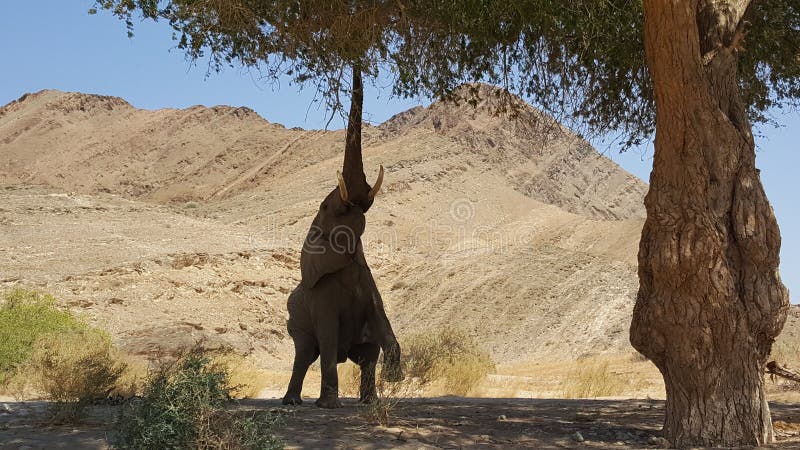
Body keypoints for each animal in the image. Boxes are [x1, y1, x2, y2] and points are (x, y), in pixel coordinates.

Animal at [281, 167, 403, 408]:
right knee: (304, 354)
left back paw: (369, 403)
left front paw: (394, 377)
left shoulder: (367, 282)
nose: (356, 204)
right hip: (297, 322)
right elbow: (328, 333)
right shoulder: (321, 293)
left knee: (368, 356)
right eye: (325, 206)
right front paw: (328, 406)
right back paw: (291, 403)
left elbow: (380, 319)